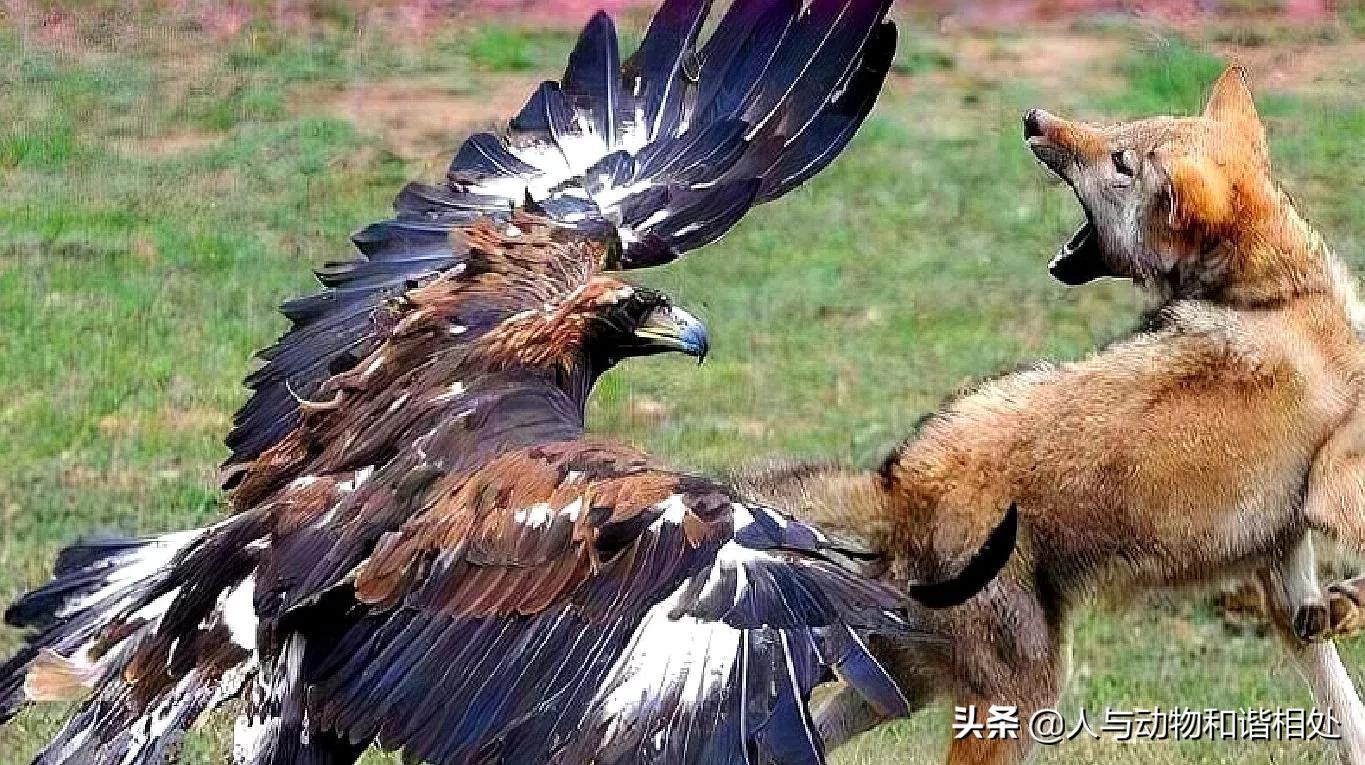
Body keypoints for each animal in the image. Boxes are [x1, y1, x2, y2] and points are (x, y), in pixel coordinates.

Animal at [736, 67, 1365, 764]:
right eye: (1121, 140)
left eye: (1120, 159)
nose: (1033, 119)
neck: (1280, 291)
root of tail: (896, 482)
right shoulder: (1326, 498)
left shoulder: (1288, 586)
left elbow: (1344, 701)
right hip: (1015, 700)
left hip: (898, 689)